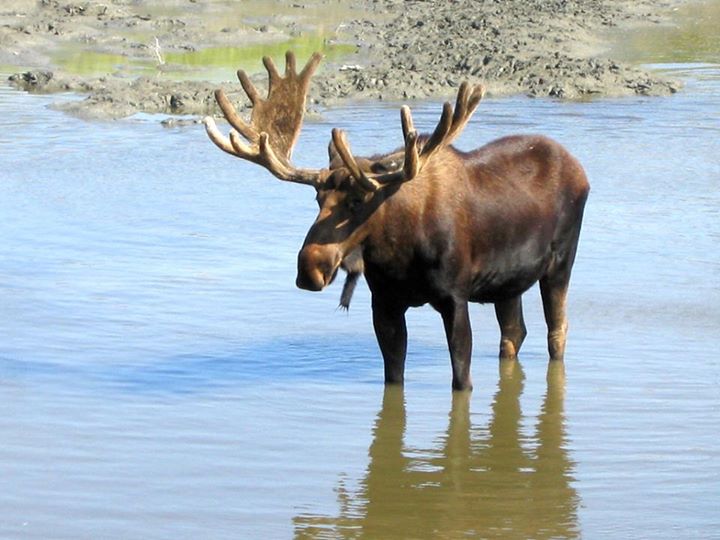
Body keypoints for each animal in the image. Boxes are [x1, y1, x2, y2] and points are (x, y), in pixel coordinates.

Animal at [203, 52, 590, 391]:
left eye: (358, 200)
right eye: (317, 199)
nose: (309, 269)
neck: (400, 252)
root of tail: (578, 167)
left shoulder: (455, 297)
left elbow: (461, 381)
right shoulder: (385, 302)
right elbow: (393, 378)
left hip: (560, 263)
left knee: (557, 331)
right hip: (507, 283)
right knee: (514, 333)